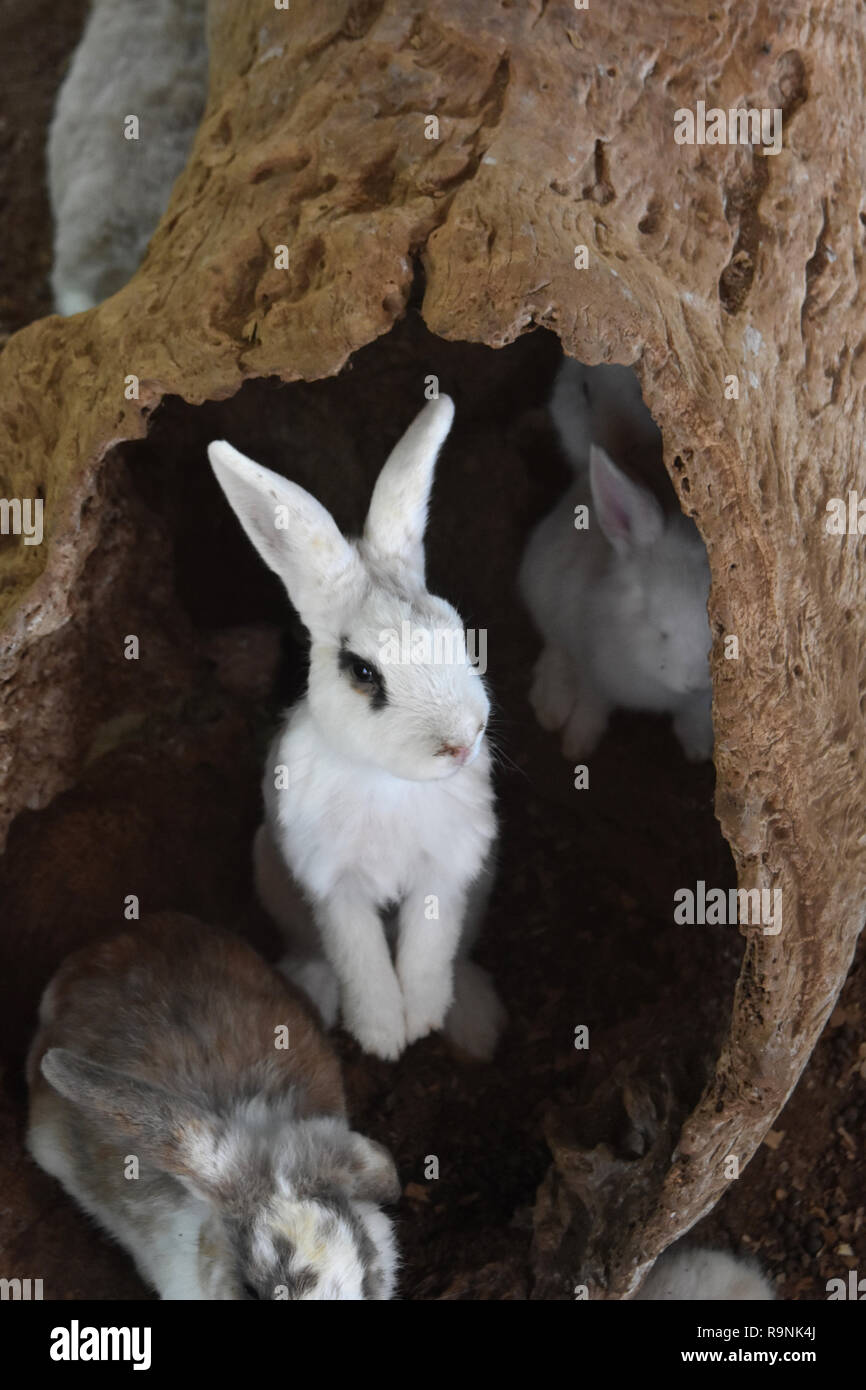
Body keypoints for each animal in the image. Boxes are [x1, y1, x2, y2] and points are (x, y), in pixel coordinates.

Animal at [207, 395, 503, 1064]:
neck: (388, 781)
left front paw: (422, 1018)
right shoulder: (333, 884)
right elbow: (360, 957)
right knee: (316, 955)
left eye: (456, 630)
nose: (461, 742)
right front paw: (384, 1035)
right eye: (363, 671)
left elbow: (428, 952)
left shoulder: (446, 873)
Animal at [519, 442, 713, 763]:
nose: (694, 682)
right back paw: (550, 706)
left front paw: (698, 748)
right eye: (657, 625)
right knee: (555, 648)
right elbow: (591, 704)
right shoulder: (593, 670)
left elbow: (693, 714)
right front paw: (577, 745)